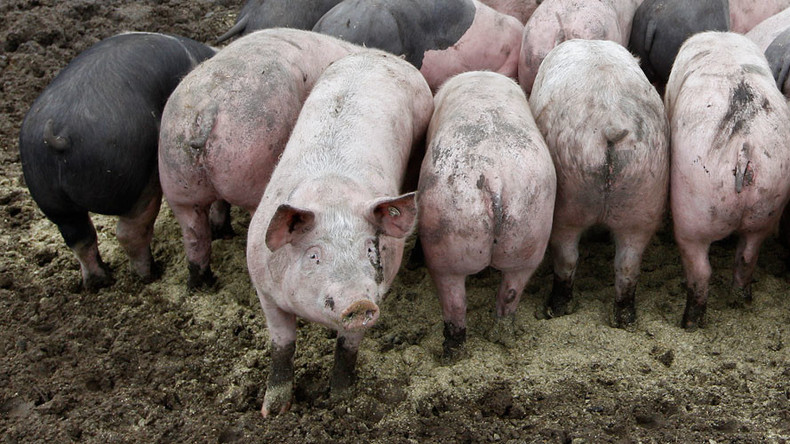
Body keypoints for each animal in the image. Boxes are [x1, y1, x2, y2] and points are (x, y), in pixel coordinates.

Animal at [18, 32, 216, 291]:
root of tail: (59, 133)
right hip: (139, 177)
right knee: (128, 231)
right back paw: (150, 274)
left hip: (49, 196)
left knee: (79, 238)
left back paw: (100, 281)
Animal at [246, 49, 433, 416]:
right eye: (314, 255)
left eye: (370, 249)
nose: (358, 302)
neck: (332, 196)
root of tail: (380, 54)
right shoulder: (264, 289)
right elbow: (282, 346)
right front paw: (272, 412)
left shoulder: (379, 292)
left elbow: (347, 349)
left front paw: (341, 401)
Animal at [418, 71, 556, 358]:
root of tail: (495, 178)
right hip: (529, 233)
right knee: (510, 294)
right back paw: (502, 338)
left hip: (446, 239)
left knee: (455, 305)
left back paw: (450, 354)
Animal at [529, 39, 669, 327]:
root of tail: (610, 125)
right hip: (643, 198)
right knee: (627, 265)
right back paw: (624, 320)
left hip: (568, 201)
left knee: (567, 260)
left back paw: (553, 309)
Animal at [665, 31, 790, 329]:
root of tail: (745, 146)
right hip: (768, 204)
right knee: (746, 257)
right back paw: (740, 301)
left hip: (693, 210)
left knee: (701, 271)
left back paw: (689, 323)